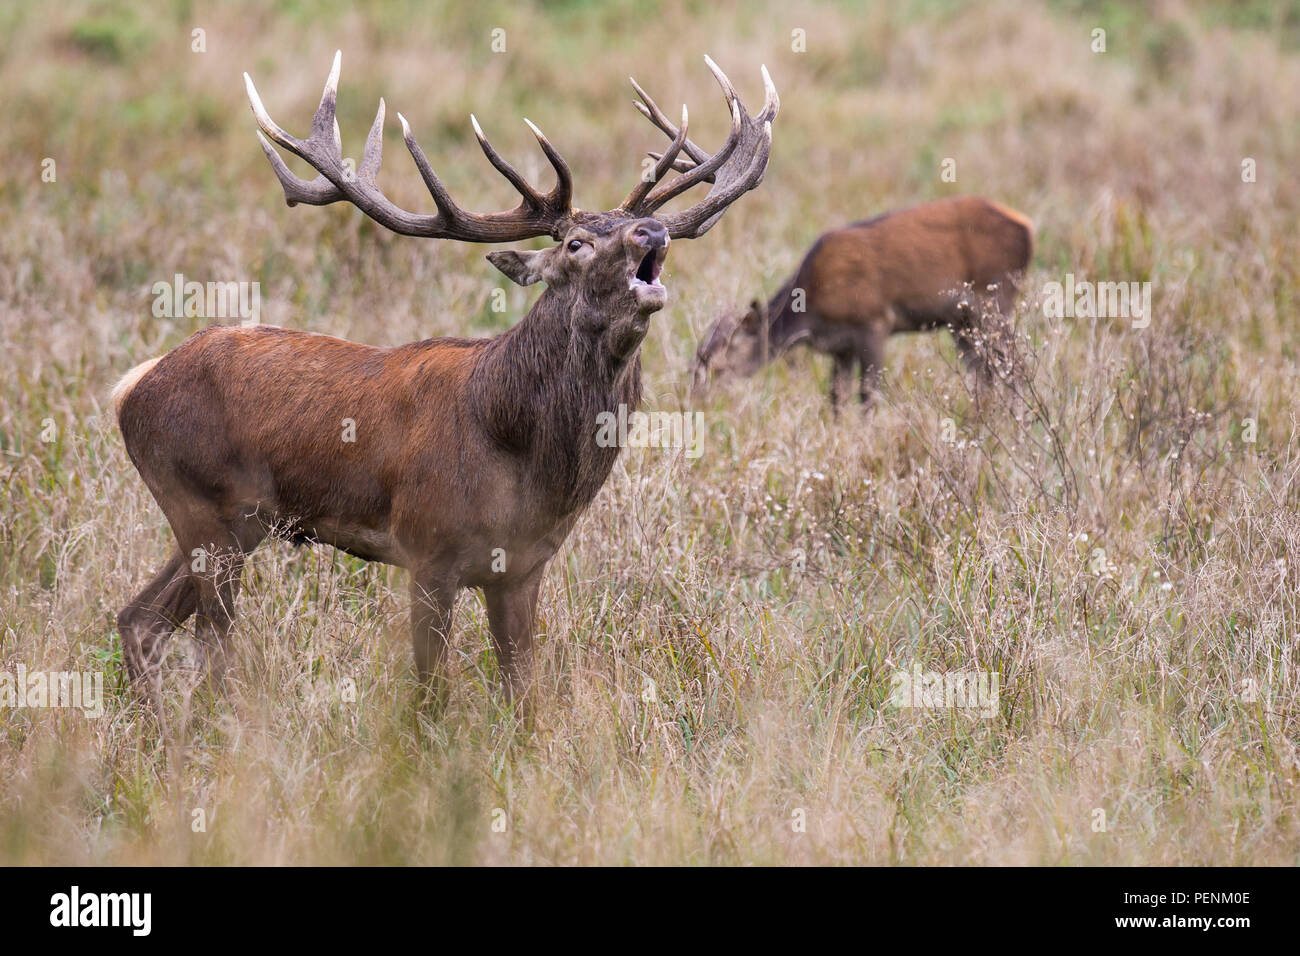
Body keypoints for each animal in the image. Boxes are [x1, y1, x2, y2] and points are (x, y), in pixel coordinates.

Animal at [111, 51, 778, 714]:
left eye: (642, 222)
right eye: (575, 244)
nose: (652, 232)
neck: (518, 456)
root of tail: (131, 388)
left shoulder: (524, 567)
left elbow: (523, 693)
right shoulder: (427, 551)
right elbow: (429, 691)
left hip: (235, 523)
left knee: (139, 617)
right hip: (198, 505)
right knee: (210, 646)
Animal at [693, 196, 1033, 411]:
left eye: (720, 364)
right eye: (697, 359)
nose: (698, 400)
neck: (812, 312)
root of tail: (1028, 228)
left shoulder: (874, 322)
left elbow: (868, 395)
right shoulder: (840, 347)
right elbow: (836, 398)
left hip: (996, 298)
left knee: (1015, 366)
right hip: (962, 321)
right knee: (984, 371)